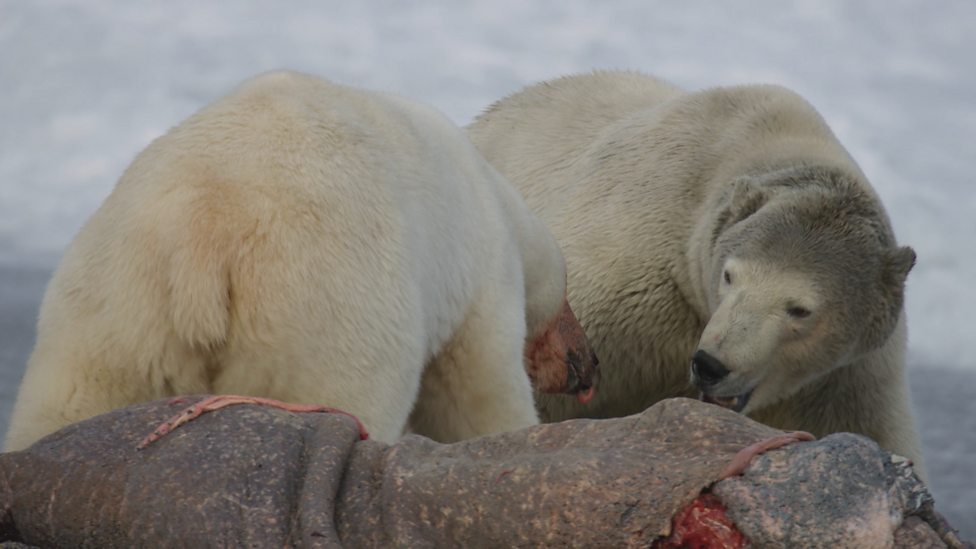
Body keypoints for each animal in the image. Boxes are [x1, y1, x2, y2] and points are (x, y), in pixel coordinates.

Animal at [5, 70, 598, 451]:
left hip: (116, 302)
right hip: (323, 306)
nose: (589, 365)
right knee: (340, 391)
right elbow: (476, 394)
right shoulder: (478, 273)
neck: (494, 195)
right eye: (568, 303)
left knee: (71, 401)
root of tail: (207, 223)